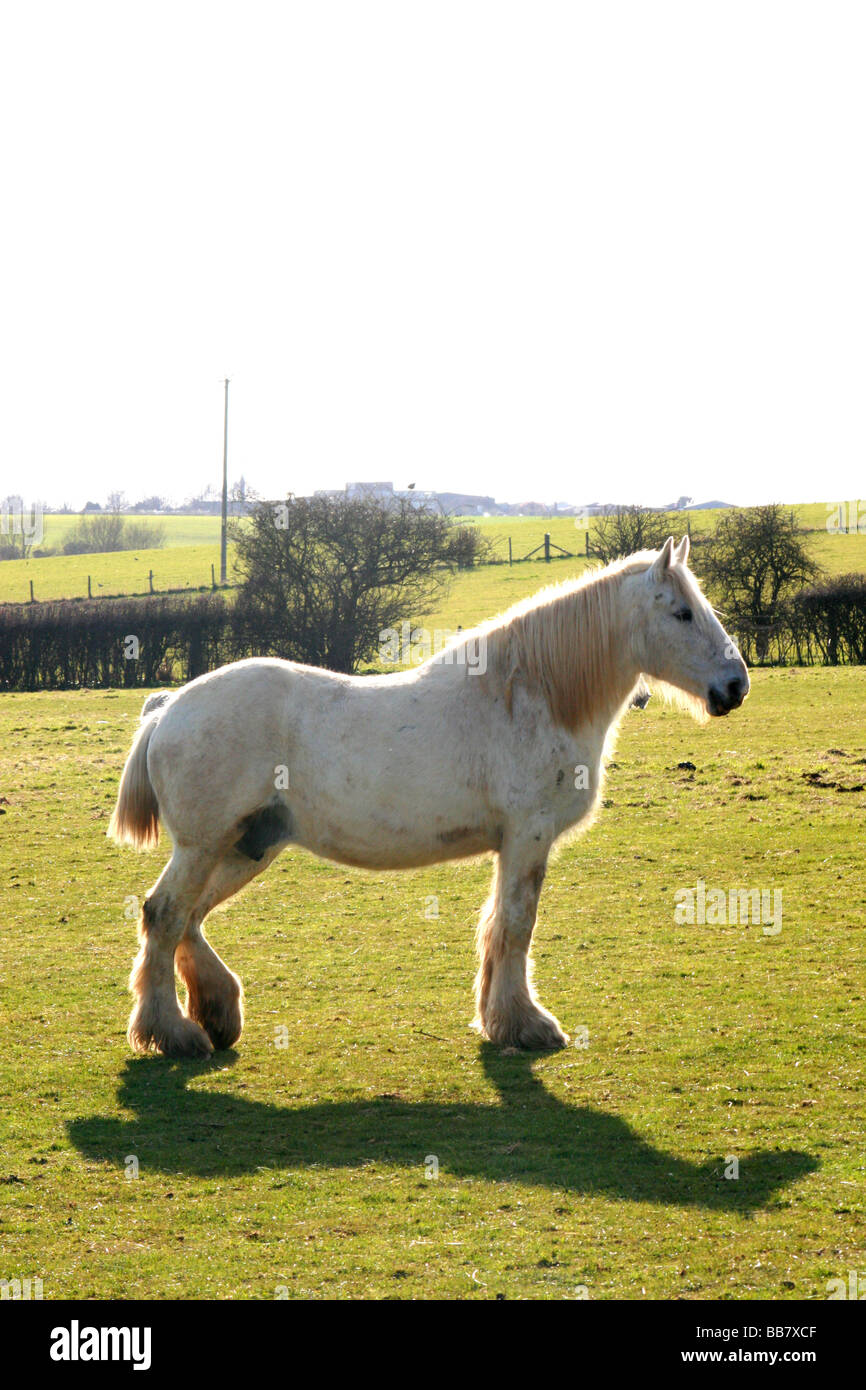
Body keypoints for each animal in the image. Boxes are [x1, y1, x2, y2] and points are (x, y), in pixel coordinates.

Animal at [108, 534, 749, 1058]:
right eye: (683, 612)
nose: (735, 687)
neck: (530, 692)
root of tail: (168, 706)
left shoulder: (513, 845)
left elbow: (497, 925)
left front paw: (499, 1019)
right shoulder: (528, 837)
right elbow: (515, 924)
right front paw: (525, 1025)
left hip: (247, 846)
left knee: (187, 920)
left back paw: (215, 1014)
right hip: (204, 847)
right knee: (165, 915)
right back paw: (173, 1033)